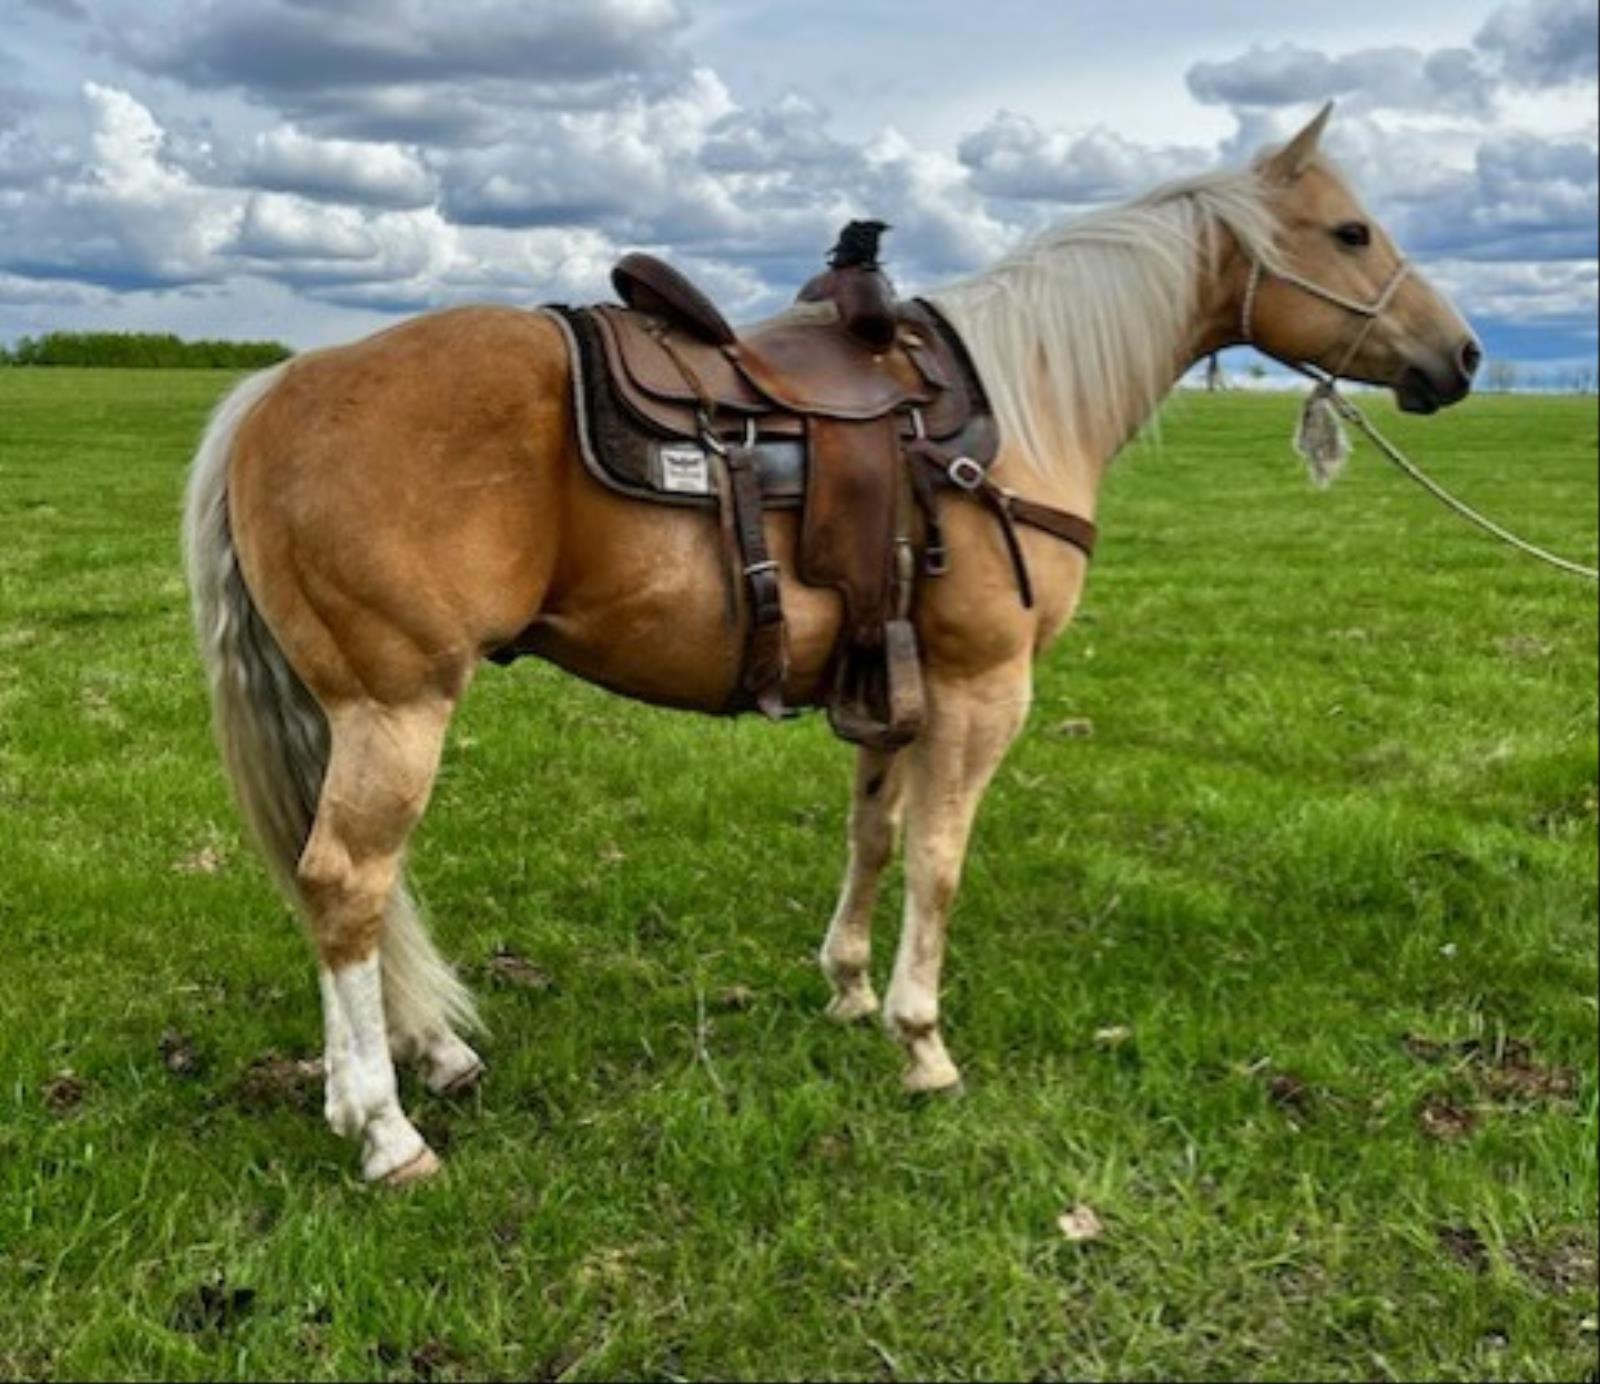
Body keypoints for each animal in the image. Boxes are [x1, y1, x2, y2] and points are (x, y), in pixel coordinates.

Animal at [182, 105, 1479, 1184]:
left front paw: (849, 989)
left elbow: (875, 832)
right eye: (1352, 232)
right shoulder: (982, 687)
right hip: (396, 710)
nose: (1461, 356)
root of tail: (274, 390)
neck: (1022, 403)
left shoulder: (889, 677)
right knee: (345, 883)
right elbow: (940, 860)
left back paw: (431, 1055)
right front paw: (922, 1042)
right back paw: (382, 1124)